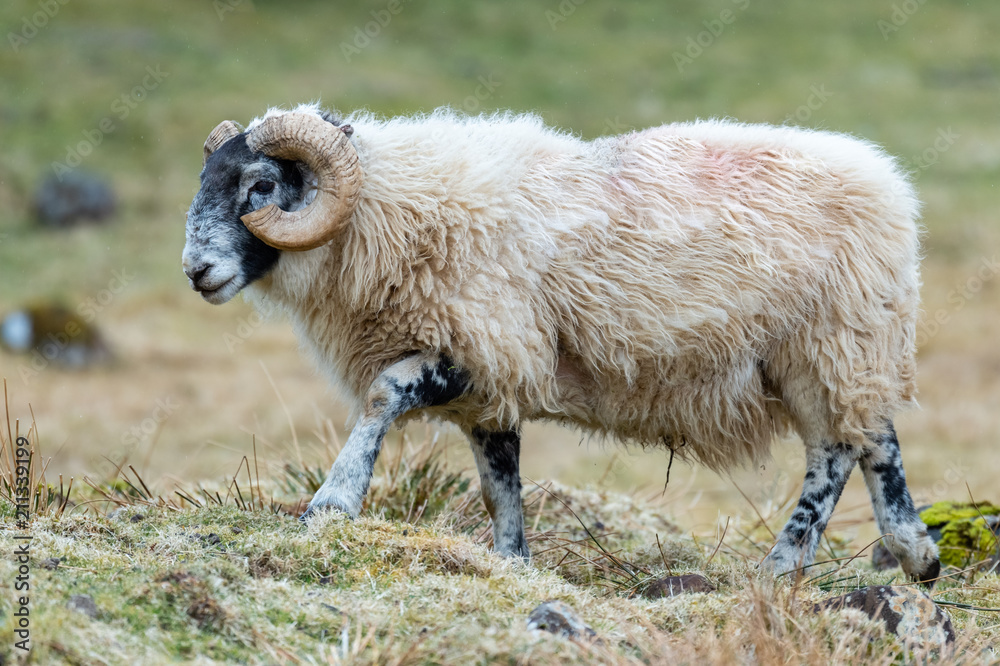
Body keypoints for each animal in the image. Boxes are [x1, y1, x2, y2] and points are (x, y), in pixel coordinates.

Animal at [182, 103, 940, 584]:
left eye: (260, 184)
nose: (196, 271)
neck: (388, 208)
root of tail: (890, 185)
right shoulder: (490, 378)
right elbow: (499, 480)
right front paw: (513, 561)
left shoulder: (486, 344)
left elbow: (383, 393)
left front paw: (331, 505)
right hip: (829, 352)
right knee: (860, 441)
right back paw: (905, 557)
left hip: (835, 341)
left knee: (844, 451)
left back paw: (801, 565)